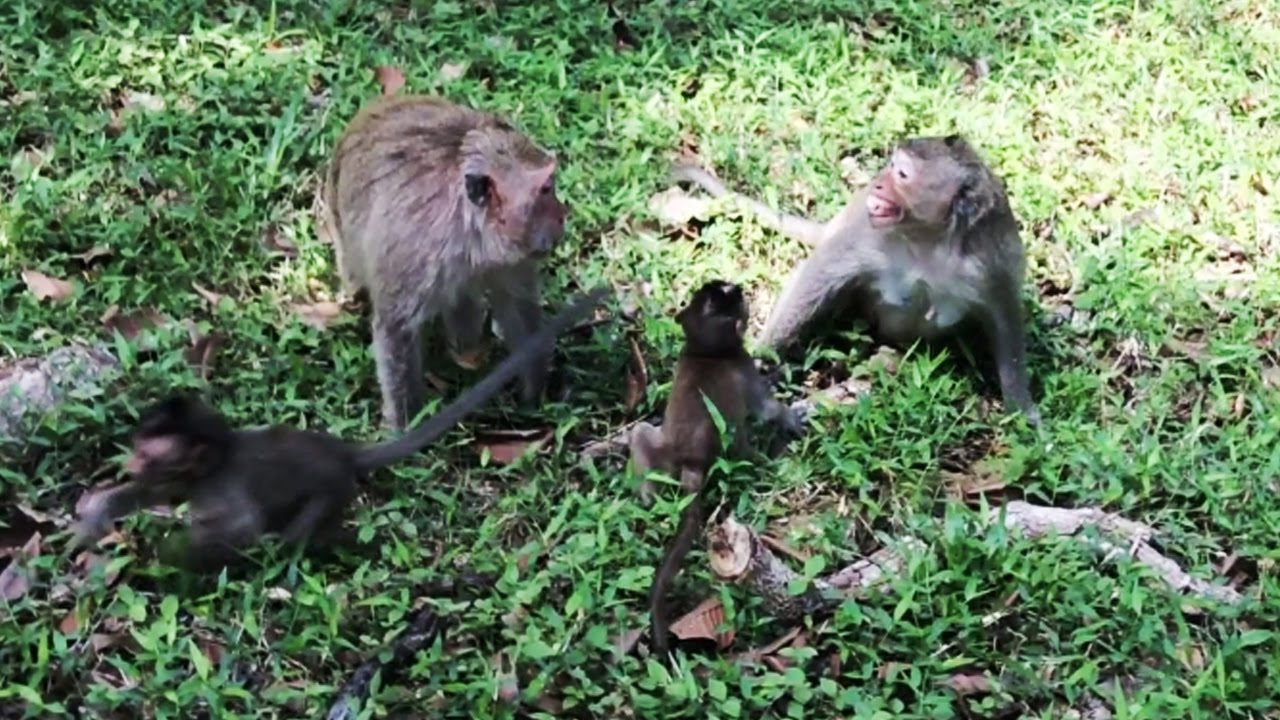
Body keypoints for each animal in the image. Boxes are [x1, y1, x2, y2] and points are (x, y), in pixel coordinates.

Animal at [69, 287, 609, 571]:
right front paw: (98, 519)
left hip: (332, 489)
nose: (129, 461)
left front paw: (161, 560)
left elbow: (241, 528)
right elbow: (146, 497)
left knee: (298, 529)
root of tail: (340, 452)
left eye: (146, 453)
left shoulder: (218, 487)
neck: (214, 459)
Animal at [322, 94, 569, 430]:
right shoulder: (414, 254)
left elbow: (518, 308)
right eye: (545, 190)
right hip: (342, 237)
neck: (471, 233)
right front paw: (405, 426)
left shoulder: (509, 260)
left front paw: (533, 396)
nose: (563, 214)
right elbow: (396, 328)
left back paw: (467, 351)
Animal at [631, 280, 802, 655]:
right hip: (733, 443)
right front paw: (793, 417)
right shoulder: (744, 366)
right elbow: (767, 409)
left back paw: (648, 497)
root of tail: (691, 462)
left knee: (640, 435)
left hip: (661, 449)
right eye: (726, 294)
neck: (706, 352)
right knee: (744, 442)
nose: (738, 287)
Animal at [673, 135, 1040, 425]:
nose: (876, 184)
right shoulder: (870, 233)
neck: (930, 239)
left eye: (901, 174)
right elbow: (819, 276)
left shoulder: (991, 261)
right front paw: (764, 354)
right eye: (891, 166)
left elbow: (1006, 317)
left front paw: (1022, 408)